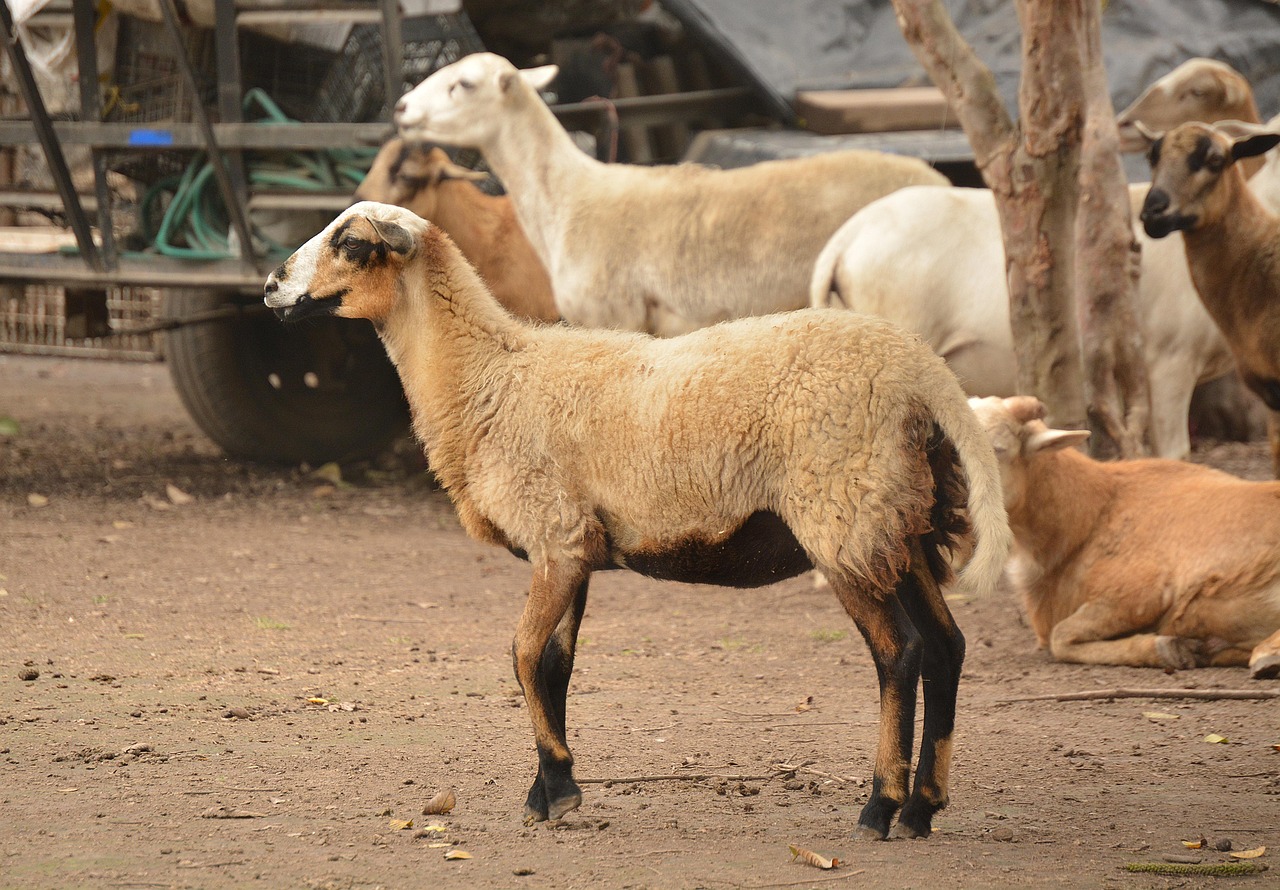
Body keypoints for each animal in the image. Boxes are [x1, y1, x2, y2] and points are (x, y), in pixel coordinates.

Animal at [264, 201, 1012, 839]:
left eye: (351, 243)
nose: (271, 286)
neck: (487, 375)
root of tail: (921, 371)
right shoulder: (574, 545)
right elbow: (555, 664)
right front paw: (545, 792)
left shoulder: (555, 534)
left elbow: (522, 655)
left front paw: (561, 786)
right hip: (899, 519)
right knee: (946, 647)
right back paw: (923, 808)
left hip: (842, 513)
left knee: (899, 653)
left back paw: (880, 807)